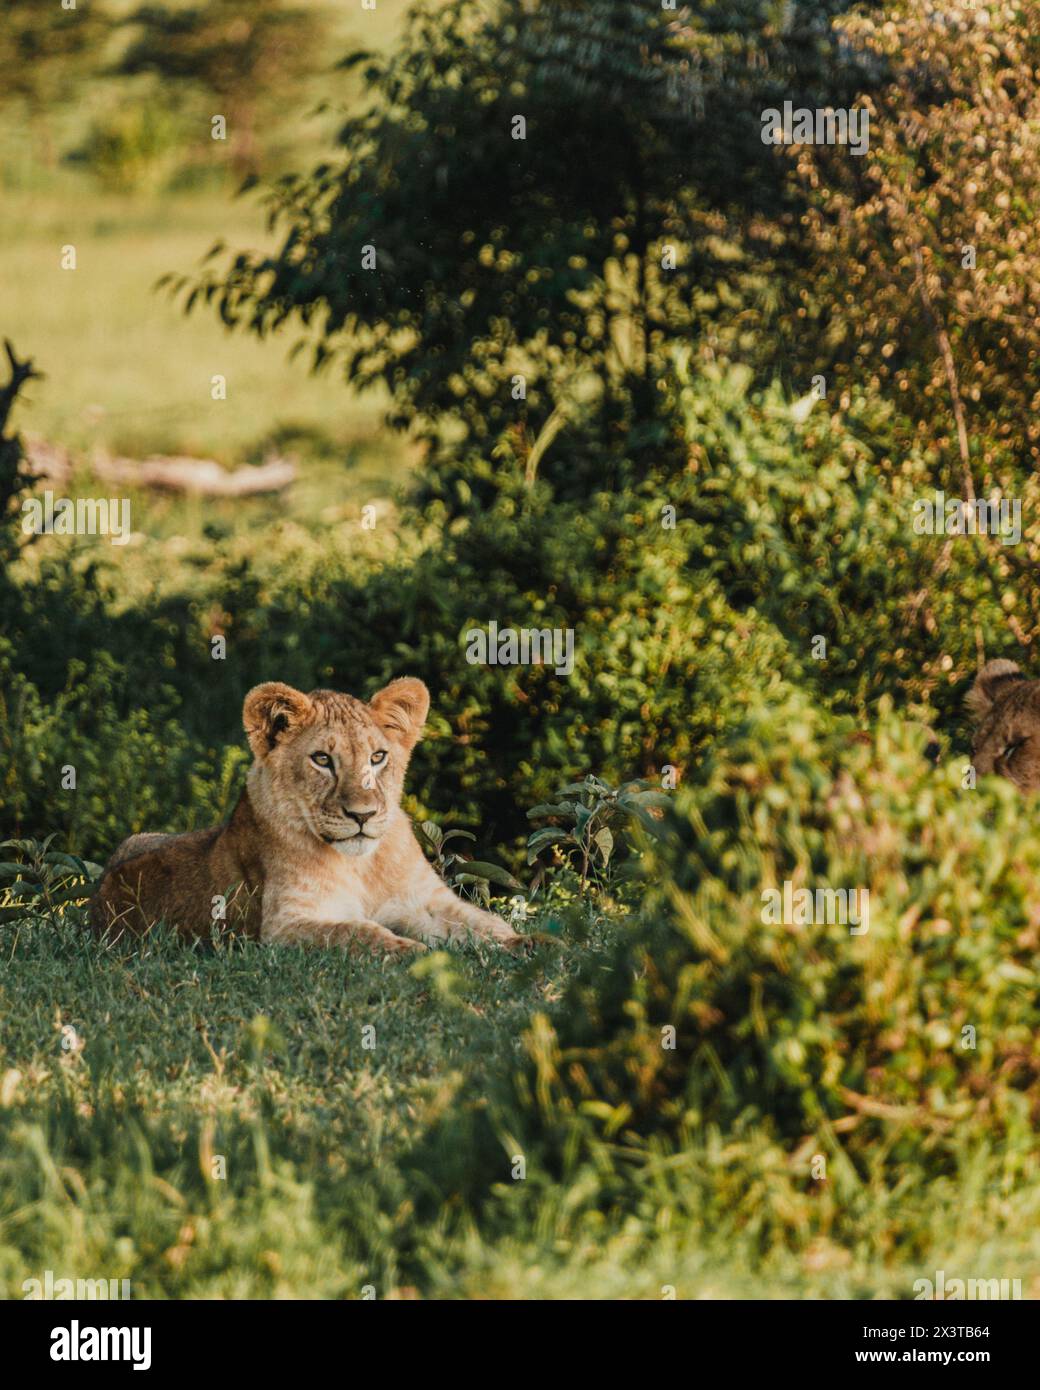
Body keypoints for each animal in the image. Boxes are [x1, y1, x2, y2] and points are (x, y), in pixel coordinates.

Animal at [90, 678, 525, 954]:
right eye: (322, 760)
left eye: (377, 757)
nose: (363, 815)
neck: (363, 866)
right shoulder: (282, 928)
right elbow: (358, 932)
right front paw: (416, 952)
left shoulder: (425, 899)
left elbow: (480, 921)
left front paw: (526, 943)